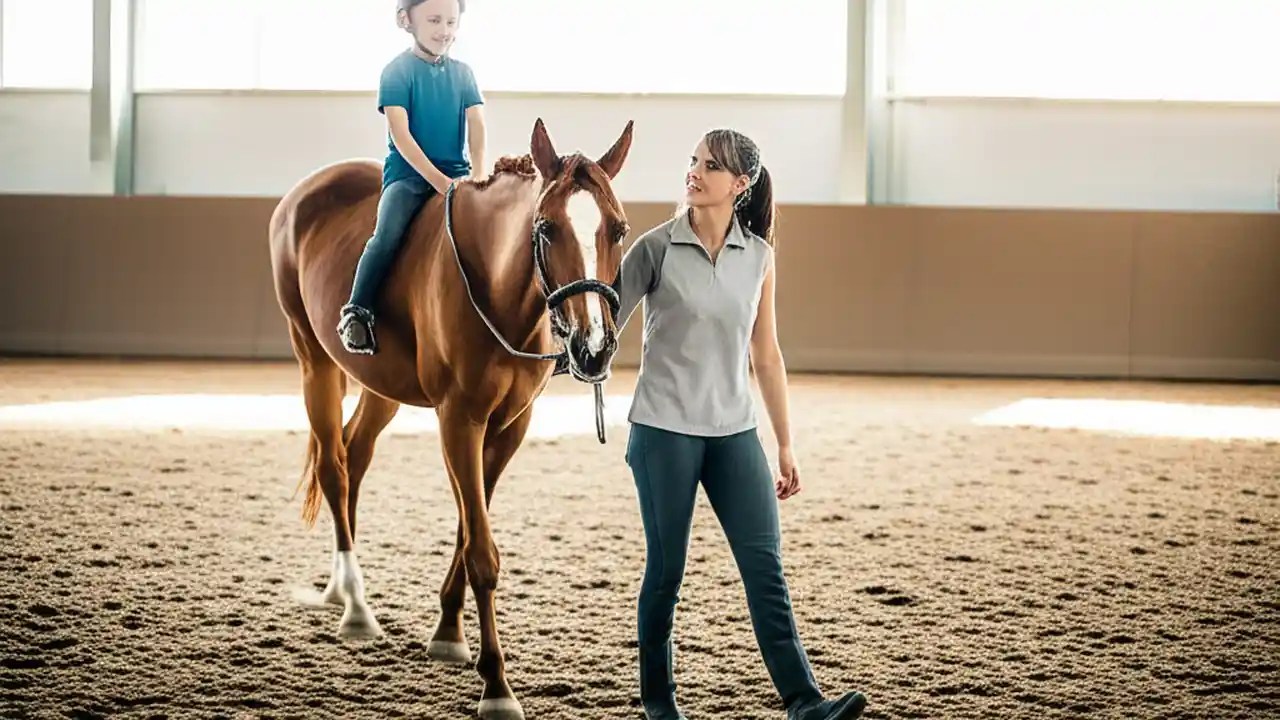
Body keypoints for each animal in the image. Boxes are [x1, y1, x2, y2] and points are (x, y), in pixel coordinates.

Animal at [267, 118, 634, 720]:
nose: (594, 347)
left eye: (619, 229)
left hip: (381, 388)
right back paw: (355, 606)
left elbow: (469, 527)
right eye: (546, 228)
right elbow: (481, 550)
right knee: (334, 468)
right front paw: (497, 686)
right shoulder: (458, 419)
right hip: (313, 360)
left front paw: (447, 633)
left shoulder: (508, 427)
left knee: (353, 456)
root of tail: (305, 193)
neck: (498, 290)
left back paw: (341, 588)